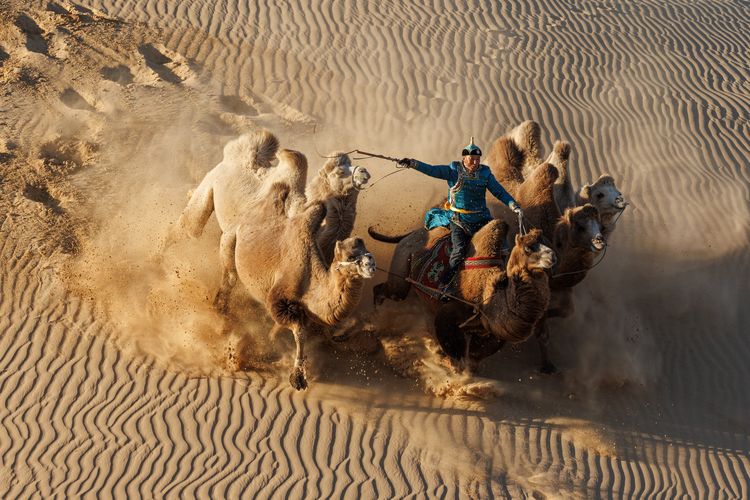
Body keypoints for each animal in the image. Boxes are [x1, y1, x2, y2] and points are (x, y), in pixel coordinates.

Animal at [233, 182, 376, 390]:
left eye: (367, 251)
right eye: (351, 257)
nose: (371, 265)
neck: (310, 279)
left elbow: (284, 328)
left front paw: (270, 344)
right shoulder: (279, 301)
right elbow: (299, 331)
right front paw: (297, 377)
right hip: (232, 238)